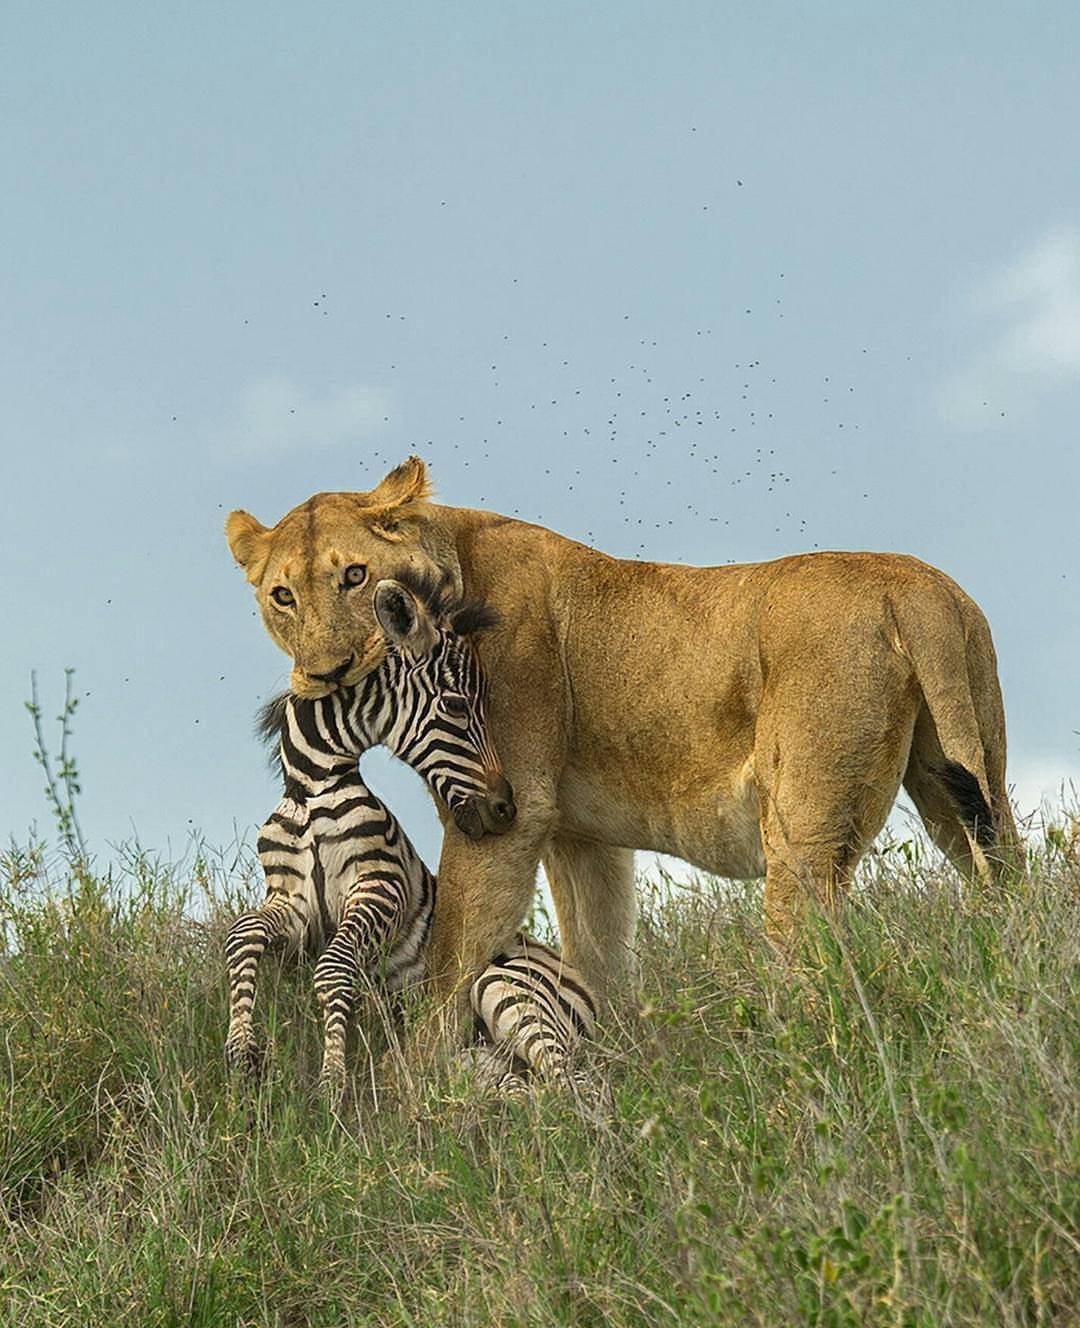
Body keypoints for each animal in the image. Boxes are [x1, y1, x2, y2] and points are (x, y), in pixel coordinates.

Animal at [224, 569, 597, 1099]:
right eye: (458, 704)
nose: (505, 810)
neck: (314, 790)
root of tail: (587, 989)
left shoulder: (382, 887)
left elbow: (334, 970)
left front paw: (333, 1083)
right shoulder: (294, 906)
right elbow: (243, 934)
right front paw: (243, 1053)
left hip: (500, 986)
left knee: (573, 1080)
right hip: (480, 1052)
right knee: (524, 1085)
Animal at [226, 456, 1020, 1035]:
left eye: (354, 575)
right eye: (282, 596)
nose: (324, 673)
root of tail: (910, 584)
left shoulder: (505, 816)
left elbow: (452, 963)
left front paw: (420, 1101)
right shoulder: (580, 838)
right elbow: (595, 958)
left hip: (804, 829)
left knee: (813, 955)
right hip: (965, 775)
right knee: (1003, 876)